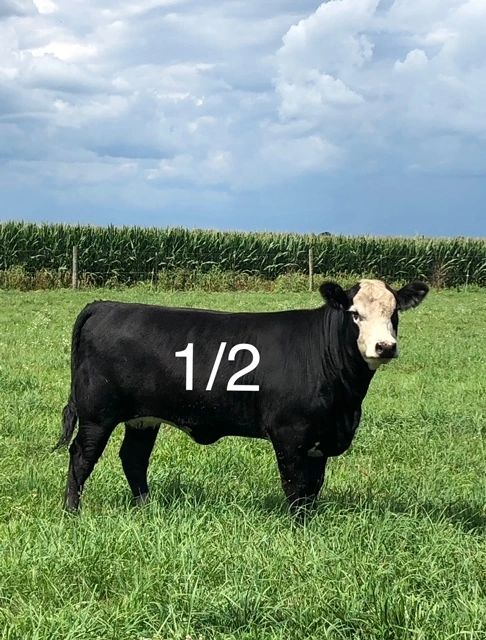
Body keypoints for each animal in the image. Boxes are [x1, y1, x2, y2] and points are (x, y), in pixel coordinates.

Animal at [54, 279, 428, 514]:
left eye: (394, 313)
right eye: (354, 314)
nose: (385, 346)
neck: (346, 402)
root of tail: (106, 305)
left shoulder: (320, 438)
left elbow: (314, 486)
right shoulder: (290, 434)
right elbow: (296, 486)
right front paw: (300, 529)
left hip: (143, 417)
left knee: (133, 458)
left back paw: (146, 509)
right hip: (97, 414)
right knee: (81, 457)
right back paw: (73, 512)